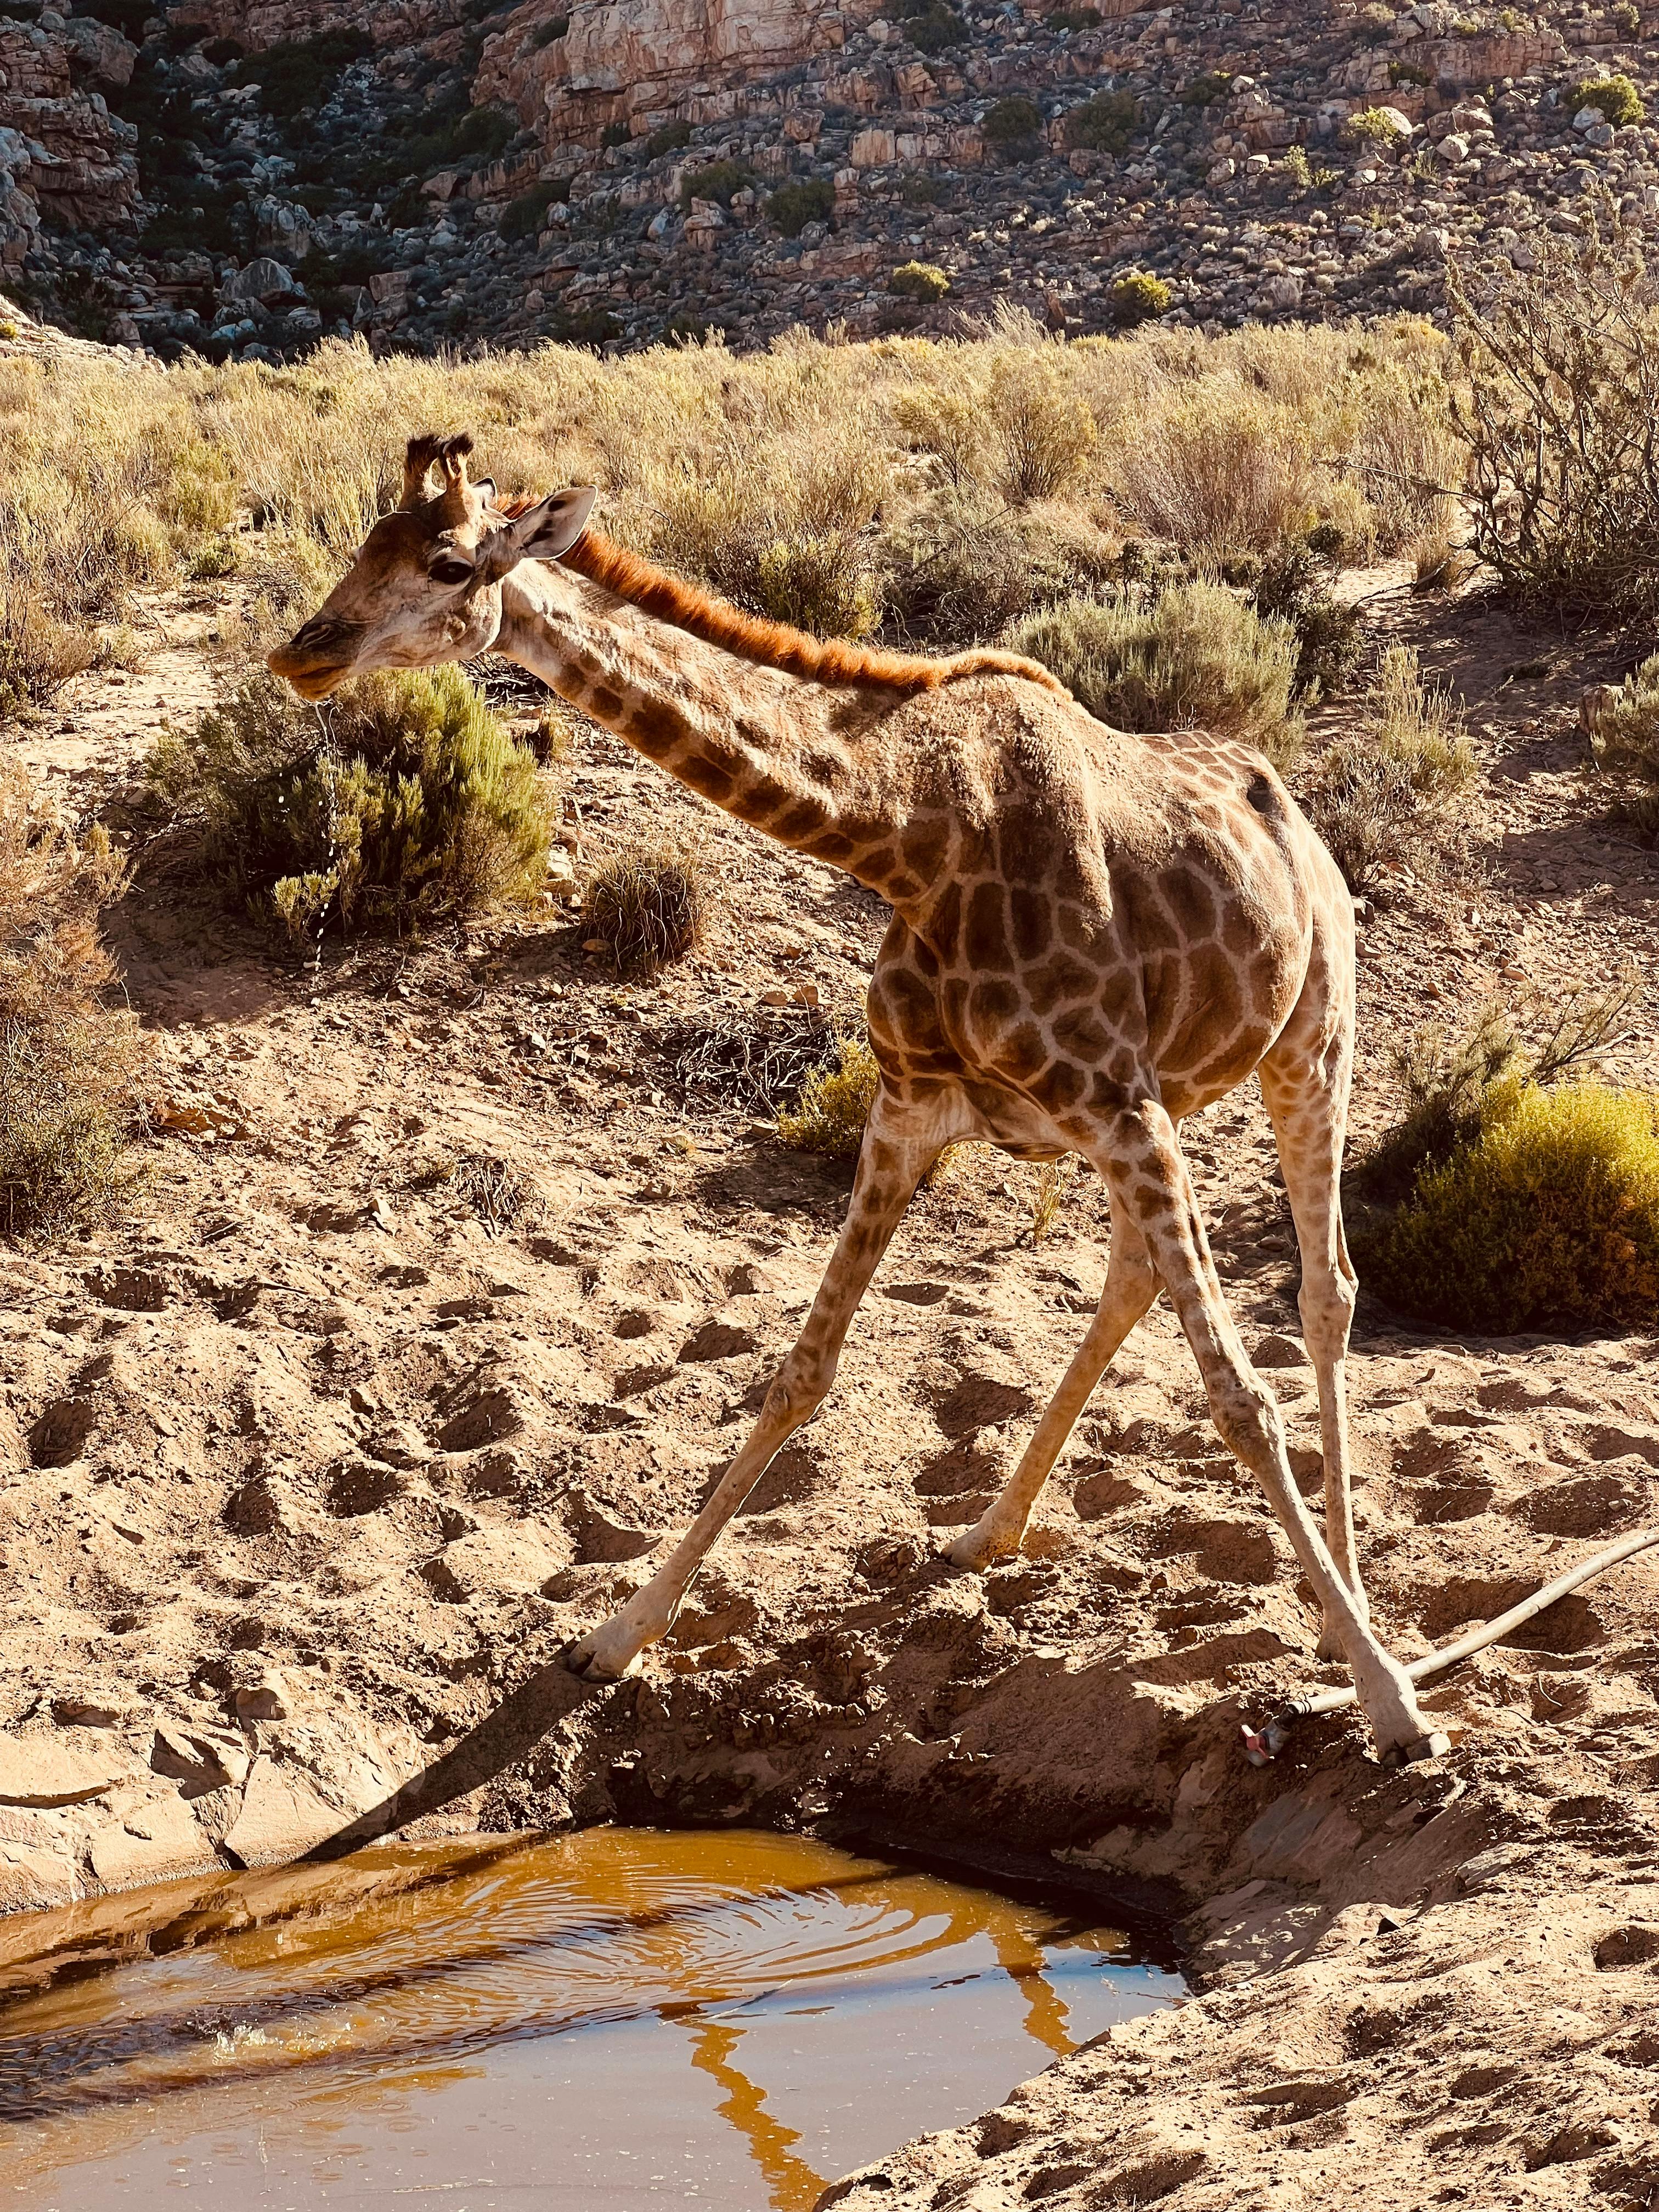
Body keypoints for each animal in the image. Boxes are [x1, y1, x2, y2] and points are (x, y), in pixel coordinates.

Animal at [268, 431, 1448, 1766]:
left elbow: (1238, 1397)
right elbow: (801, 1370)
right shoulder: (915, 1109)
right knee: (1134, 1282)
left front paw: (1392, 1700)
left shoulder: (1118, 1102)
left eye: (449, 563)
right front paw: (615, 1637)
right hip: (1151, 1111)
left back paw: (1356, 1613)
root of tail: (1297, 813)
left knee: (1323, 1289)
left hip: (1310, 1044)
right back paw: (993, 1532)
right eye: (364, 544)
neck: (909, 838)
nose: (302, 652)